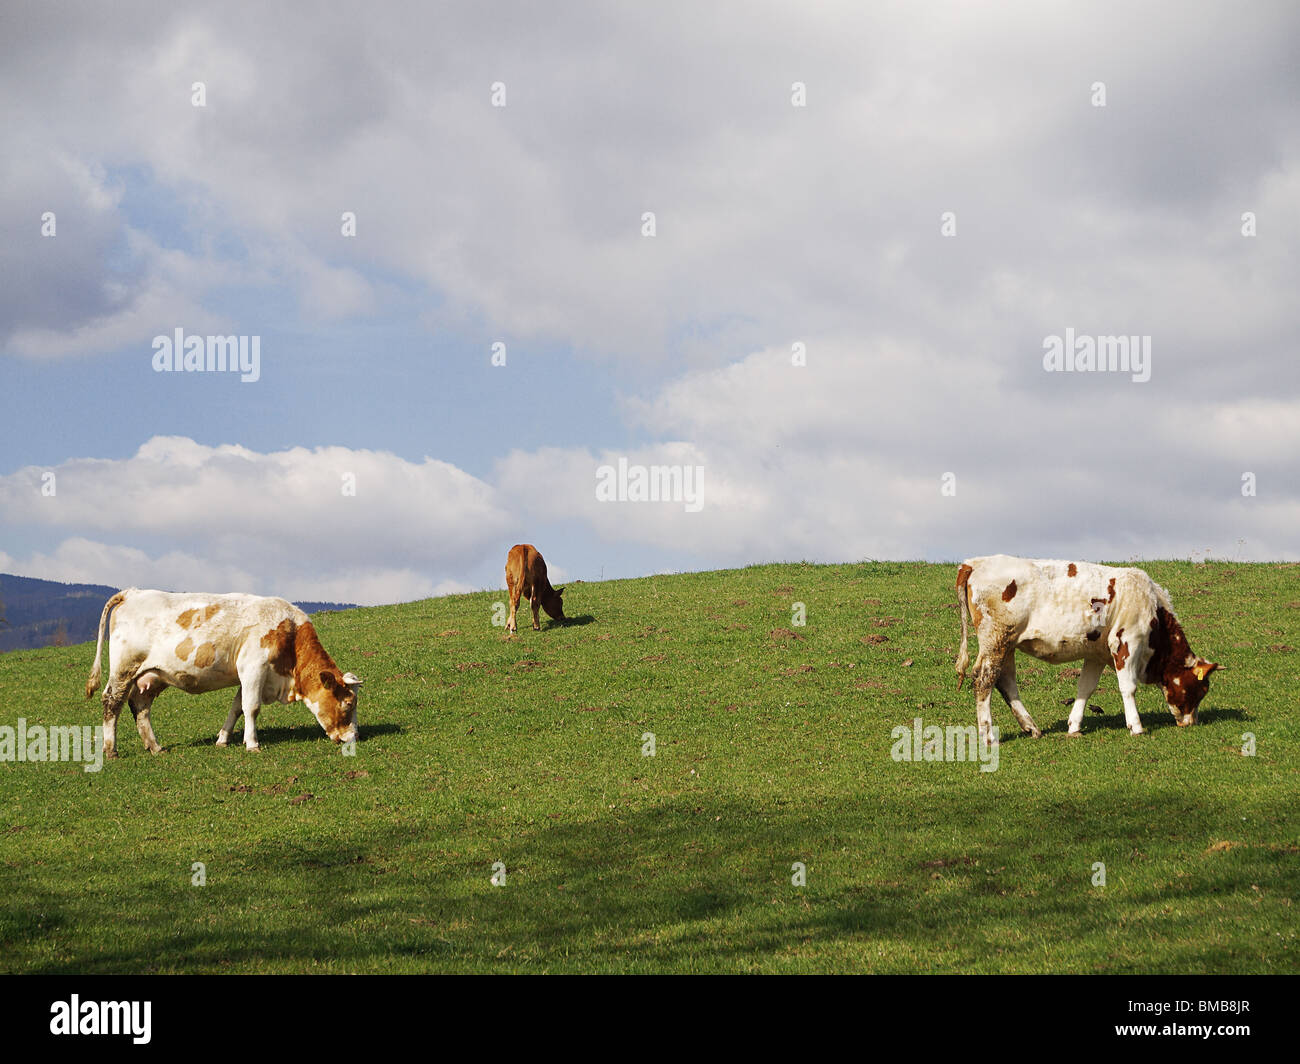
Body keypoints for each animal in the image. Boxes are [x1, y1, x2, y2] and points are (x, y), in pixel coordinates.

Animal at [84, 589, 362, 756]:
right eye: (348, 704)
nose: (354, 737)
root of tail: (132, 592)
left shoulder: (249, 675)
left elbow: (236, 707)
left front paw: (223, 739)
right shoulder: (253, 667)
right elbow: (251, 707)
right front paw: (252, 744)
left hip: (152, 676)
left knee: (140, 706)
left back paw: (155, 747)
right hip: (123, 669)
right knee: (112, 701)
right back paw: (111, 750)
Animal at [954, 555, 1221, 744]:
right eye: (1200, 690)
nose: (1190, 723)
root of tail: (973, 563)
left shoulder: (1096, 653)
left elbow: (1086, 688)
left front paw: (1074, 727)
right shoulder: (1126, 642)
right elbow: (1128, 687)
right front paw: (1136, 726)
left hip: (1007, 644)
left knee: (1005, 680)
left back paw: (1031, 727)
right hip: (995, 640)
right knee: (984, 680)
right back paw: (988, 735)